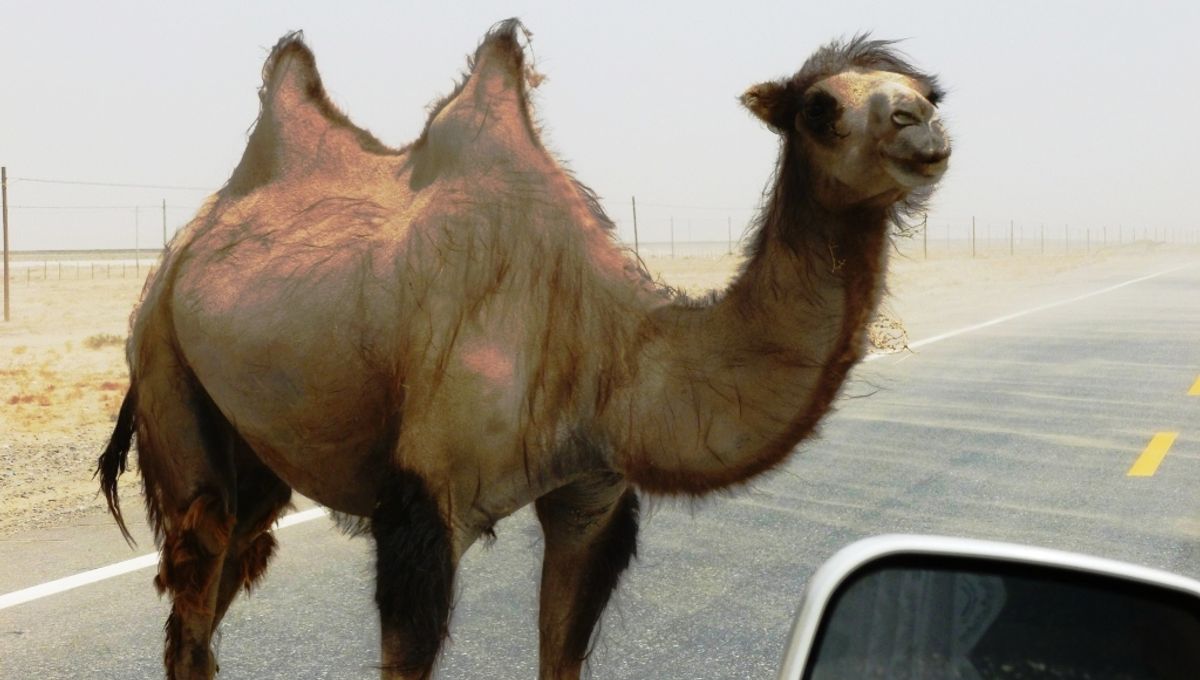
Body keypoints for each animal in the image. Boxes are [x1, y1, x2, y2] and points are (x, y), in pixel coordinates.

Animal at [97, 19, 950, 680]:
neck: (612, 341)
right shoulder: (424, 502)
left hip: (258, 442)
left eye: (930, 92)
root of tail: (182, 250)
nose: (922, 128)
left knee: (219, 581)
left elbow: (560, 648)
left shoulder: (589, 495)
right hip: (165, 363)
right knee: (198, 567)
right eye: (819, 108)